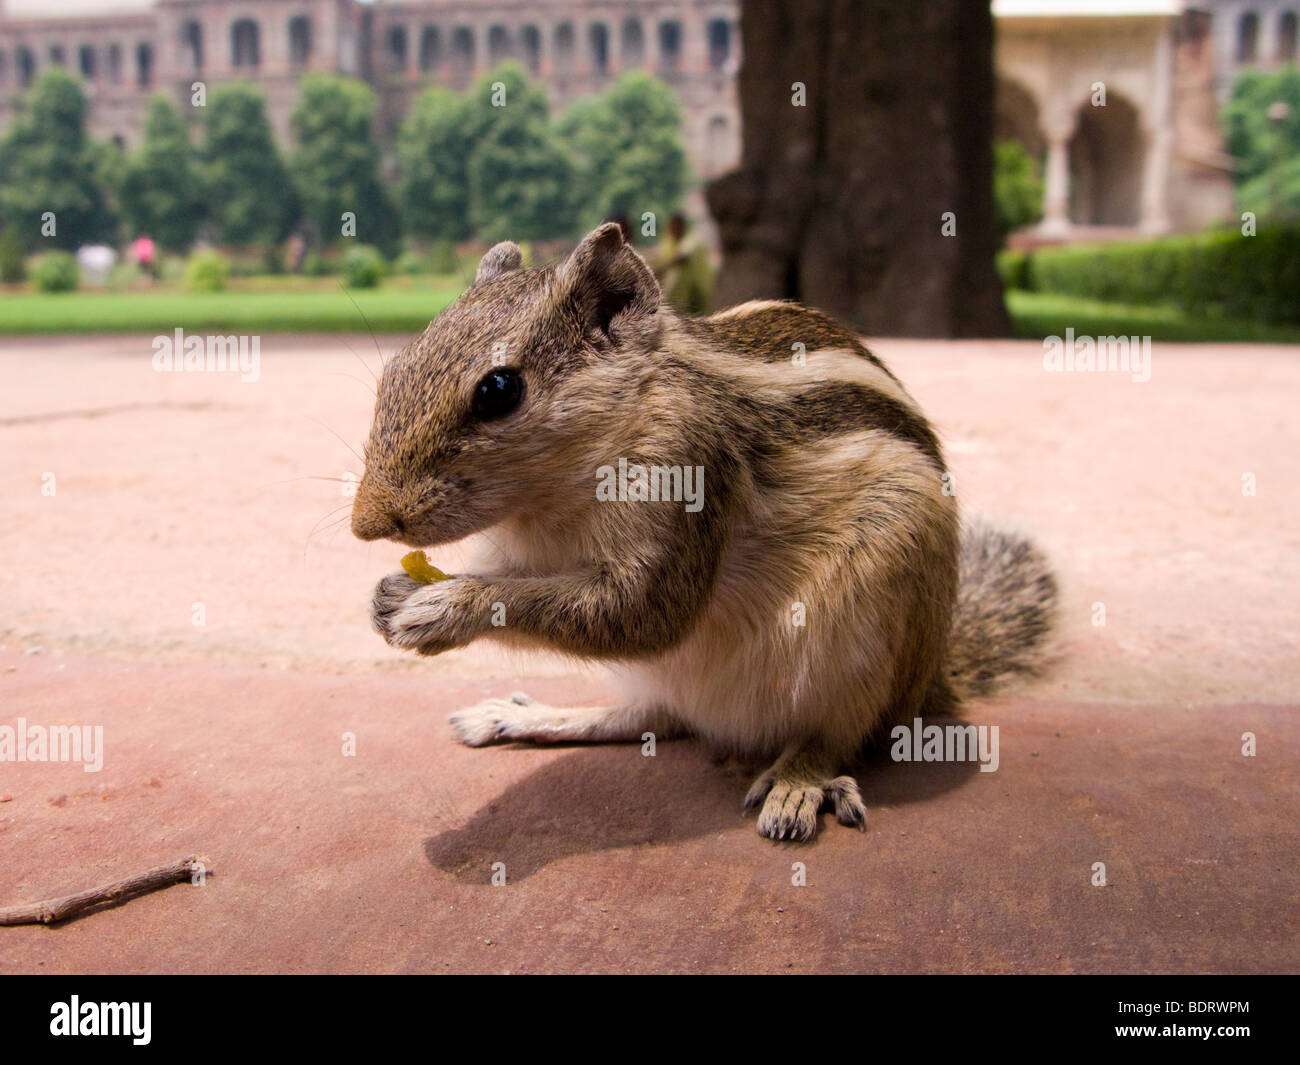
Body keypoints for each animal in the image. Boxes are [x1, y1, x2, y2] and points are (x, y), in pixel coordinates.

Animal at [352, 223, 1057, 842]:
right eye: (396, 369)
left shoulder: (684, 470)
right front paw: (389, 596)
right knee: (651, 718)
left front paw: (447, 606)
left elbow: (642, 612)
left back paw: (800, 781)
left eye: (499, 389)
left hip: (868, 633)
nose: (367, 522)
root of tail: (934, 676)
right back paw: (527, 717)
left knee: (838, 733)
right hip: (668, 679)